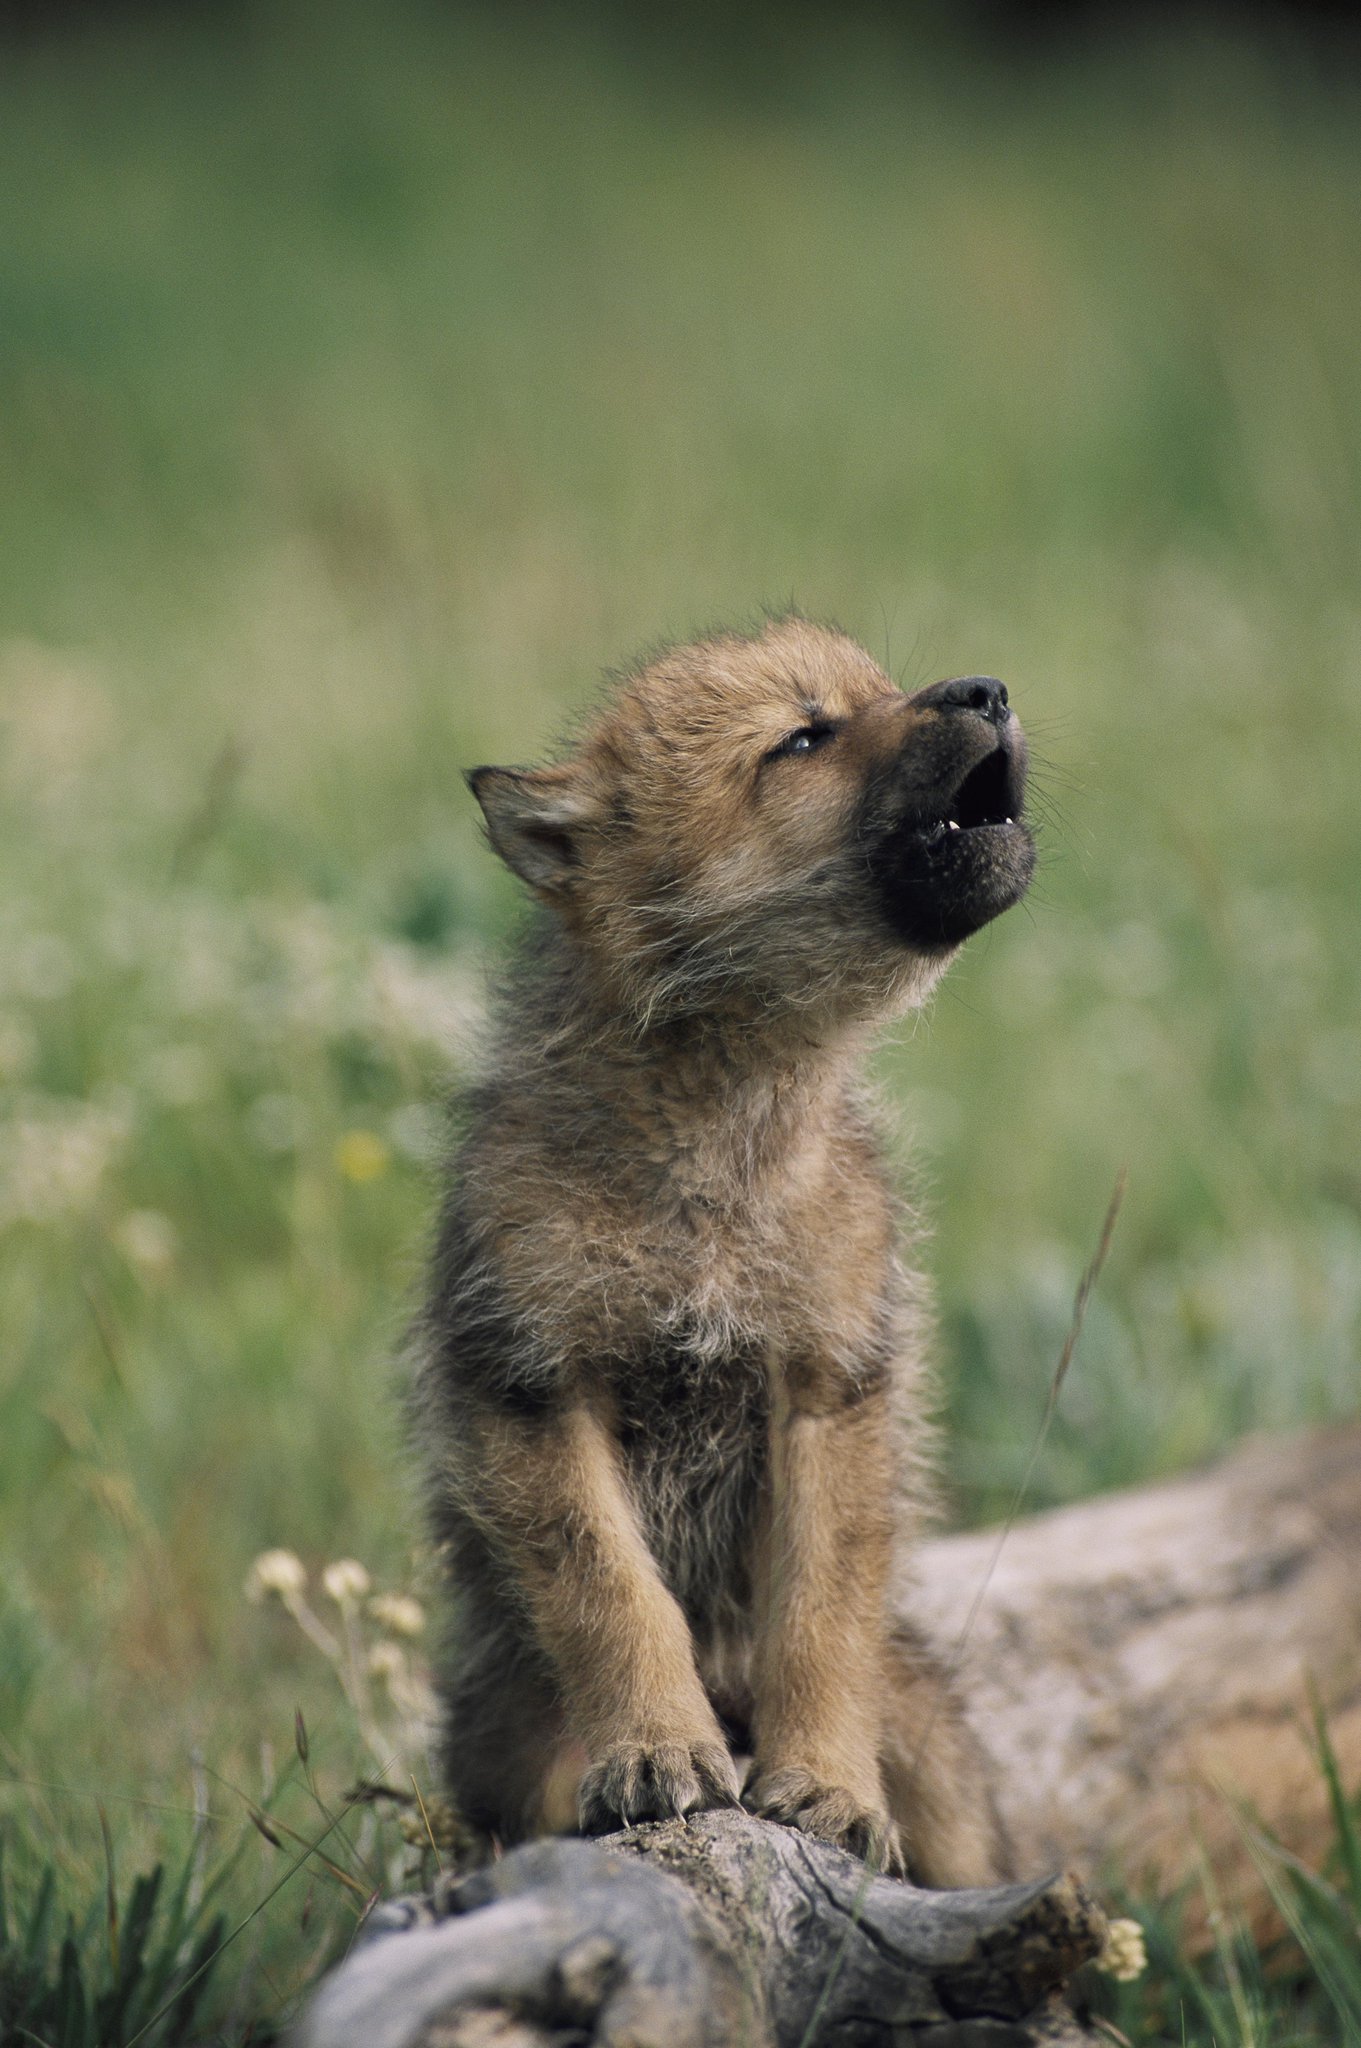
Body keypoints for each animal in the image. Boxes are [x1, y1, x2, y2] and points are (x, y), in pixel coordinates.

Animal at [413, 615, 1034, 1883]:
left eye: (881, 686)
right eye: (801, 738)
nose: (989, 687)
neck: (721, 1150)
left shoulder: (827, 1389)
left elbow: (819, 1614)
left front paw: (828, 1786)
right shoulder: (536, 1386)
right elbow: (613, 1592)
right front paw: (652, 1747)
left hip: (946, 1779)